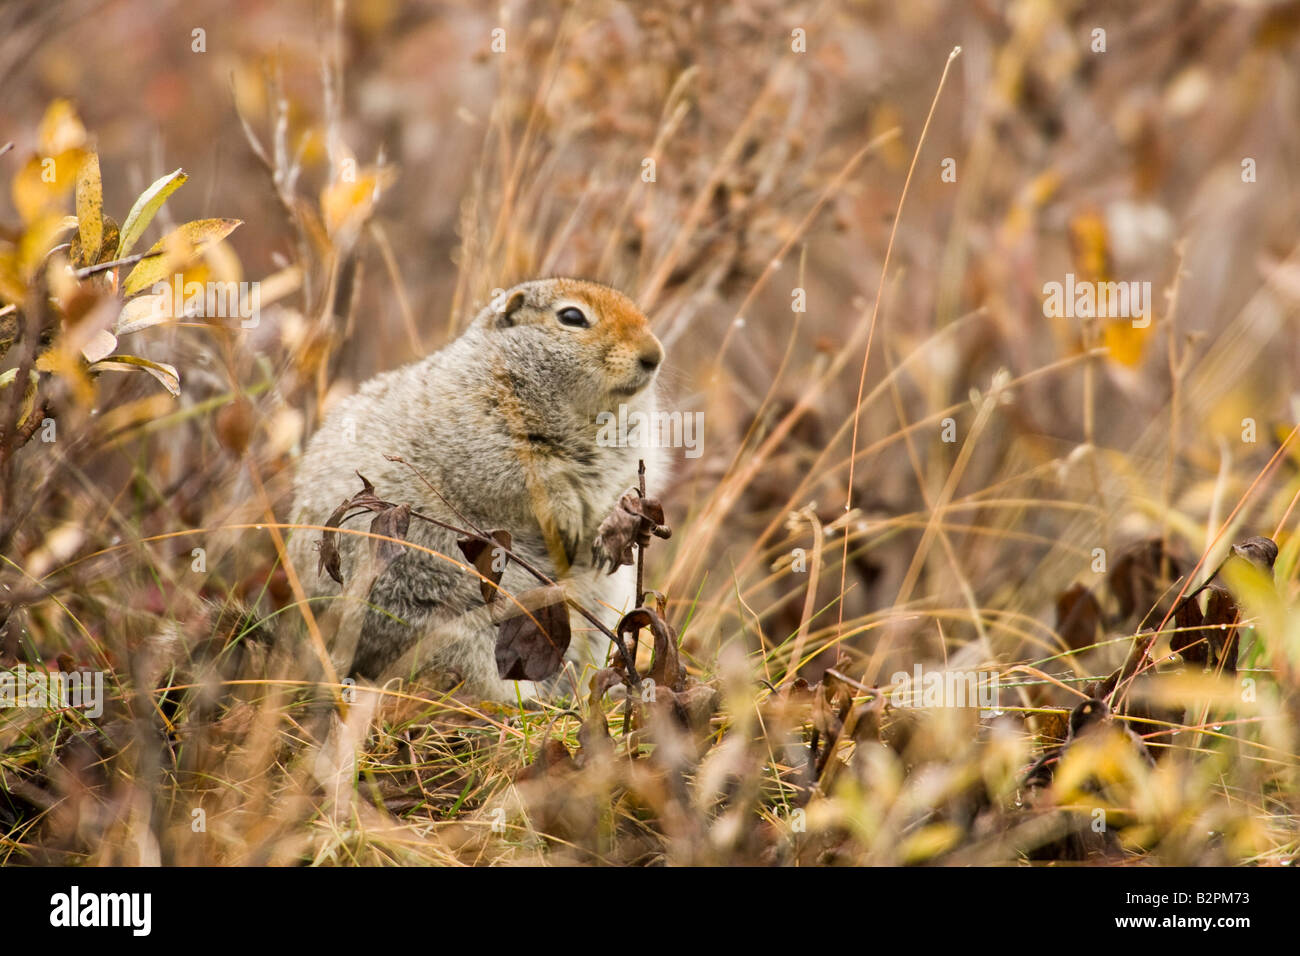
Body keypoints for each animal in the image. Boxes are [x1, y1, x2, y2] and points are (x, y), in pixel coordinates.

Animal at [286, 277, 668, 701]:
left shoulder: (631, 453)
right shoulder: (489, 438)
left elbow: (622, 487)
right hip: (450, 624)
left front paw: (604, 535)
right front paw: (568, 520)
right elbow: (530, 483)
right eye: (572, 316)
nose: (654, 355)